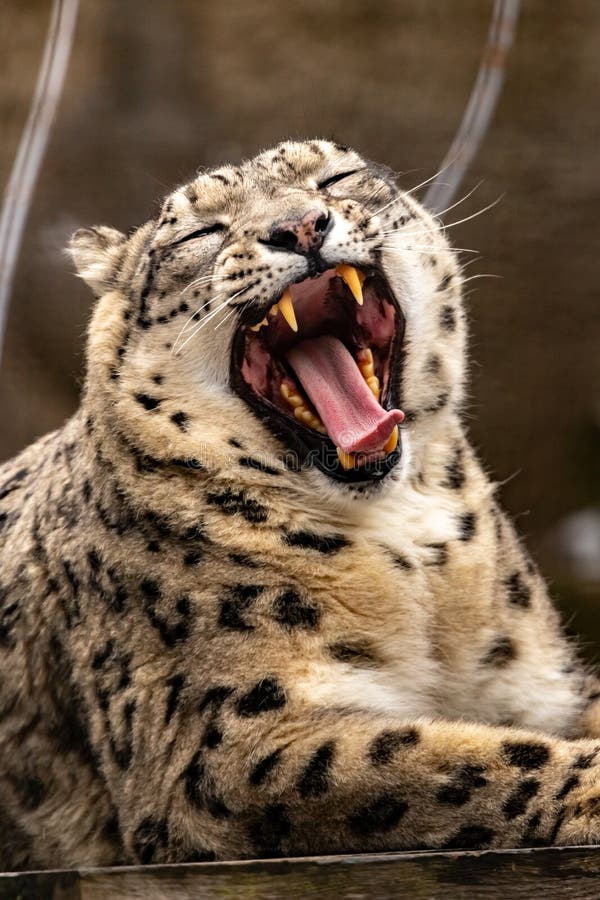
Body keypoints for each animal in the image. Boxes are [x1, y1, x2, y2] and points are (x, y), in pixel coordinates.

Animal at [1, 138, 600, 871]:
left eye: (335, 177)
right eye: (200, 233)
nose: (300, 227)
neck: (416, 559)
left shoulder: (541, 681)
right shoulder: (219, 747)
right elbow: (444, 760)